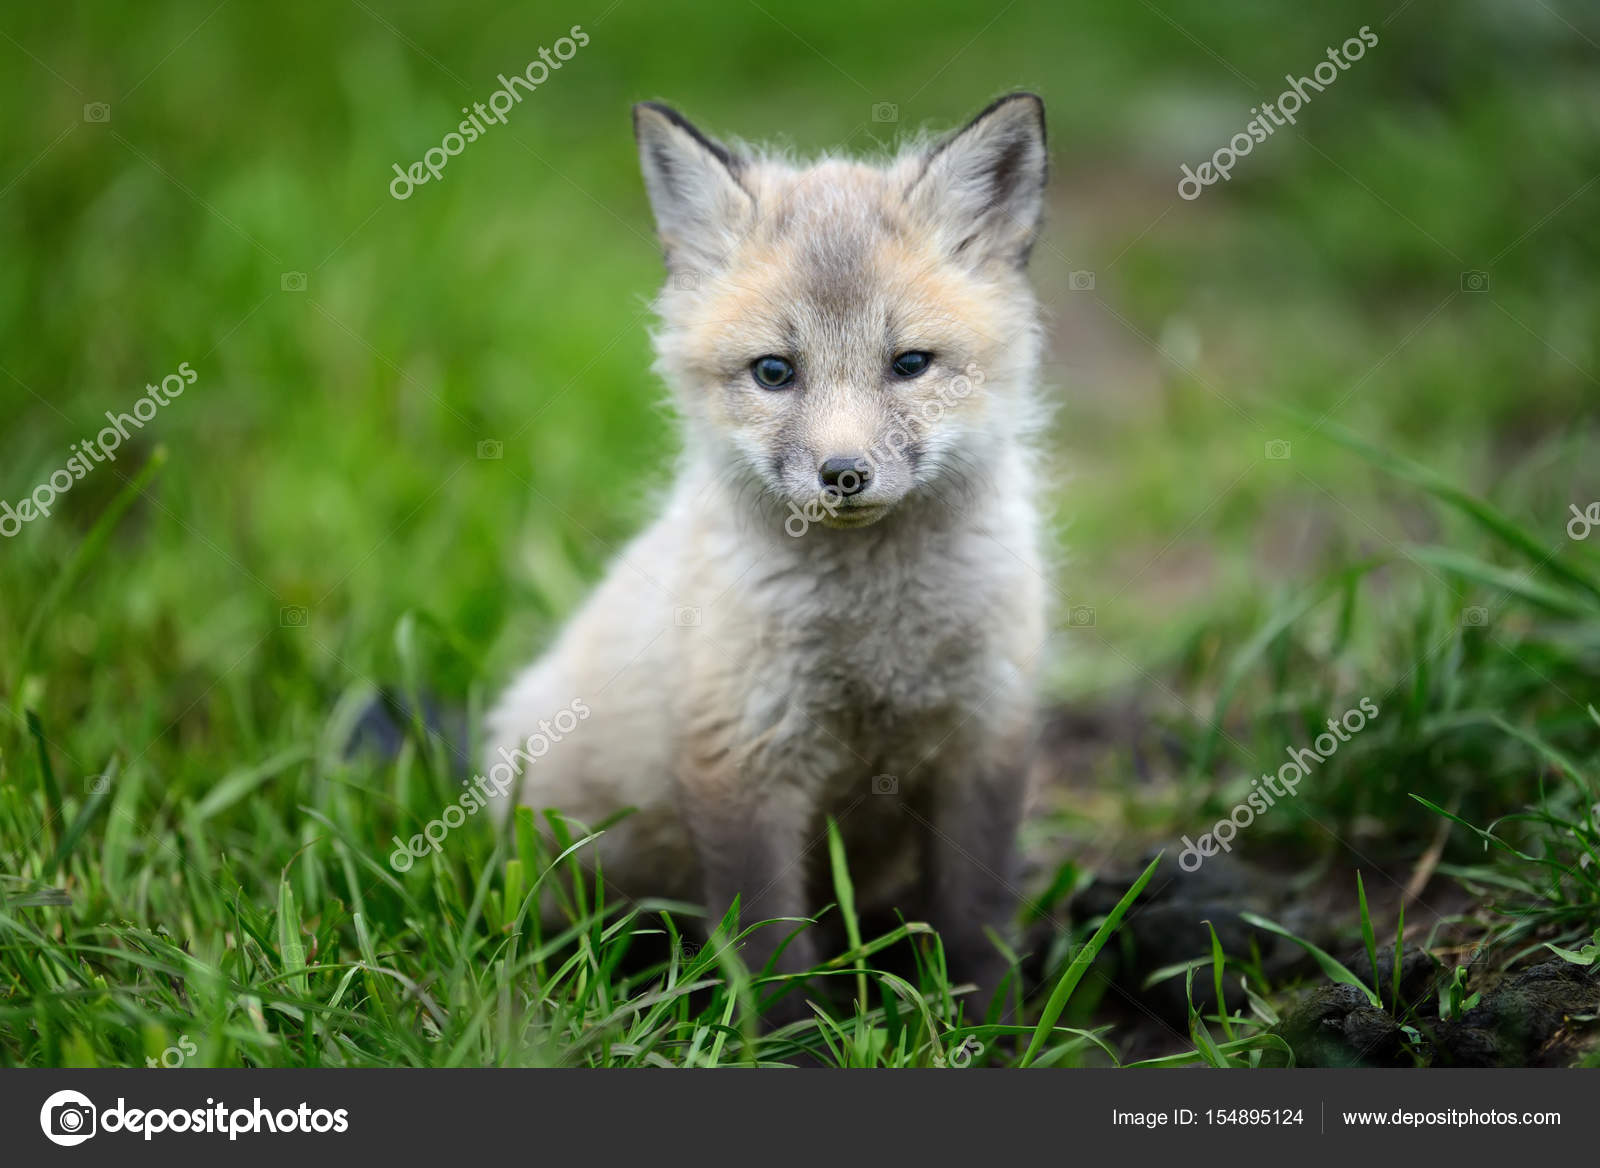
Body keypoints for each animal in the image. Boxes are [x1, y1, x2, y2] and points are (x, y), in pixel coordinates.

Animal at [485, 93, 1052, 1017]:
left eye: (910, 364)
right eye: (775, 372)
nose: (844, 473)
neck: (875, 632)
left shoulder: (985, 736)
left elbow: (976, 922)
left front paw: (993, 1027)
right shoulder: (742, 757)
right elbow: (771, 947)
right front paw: (790, 1039)